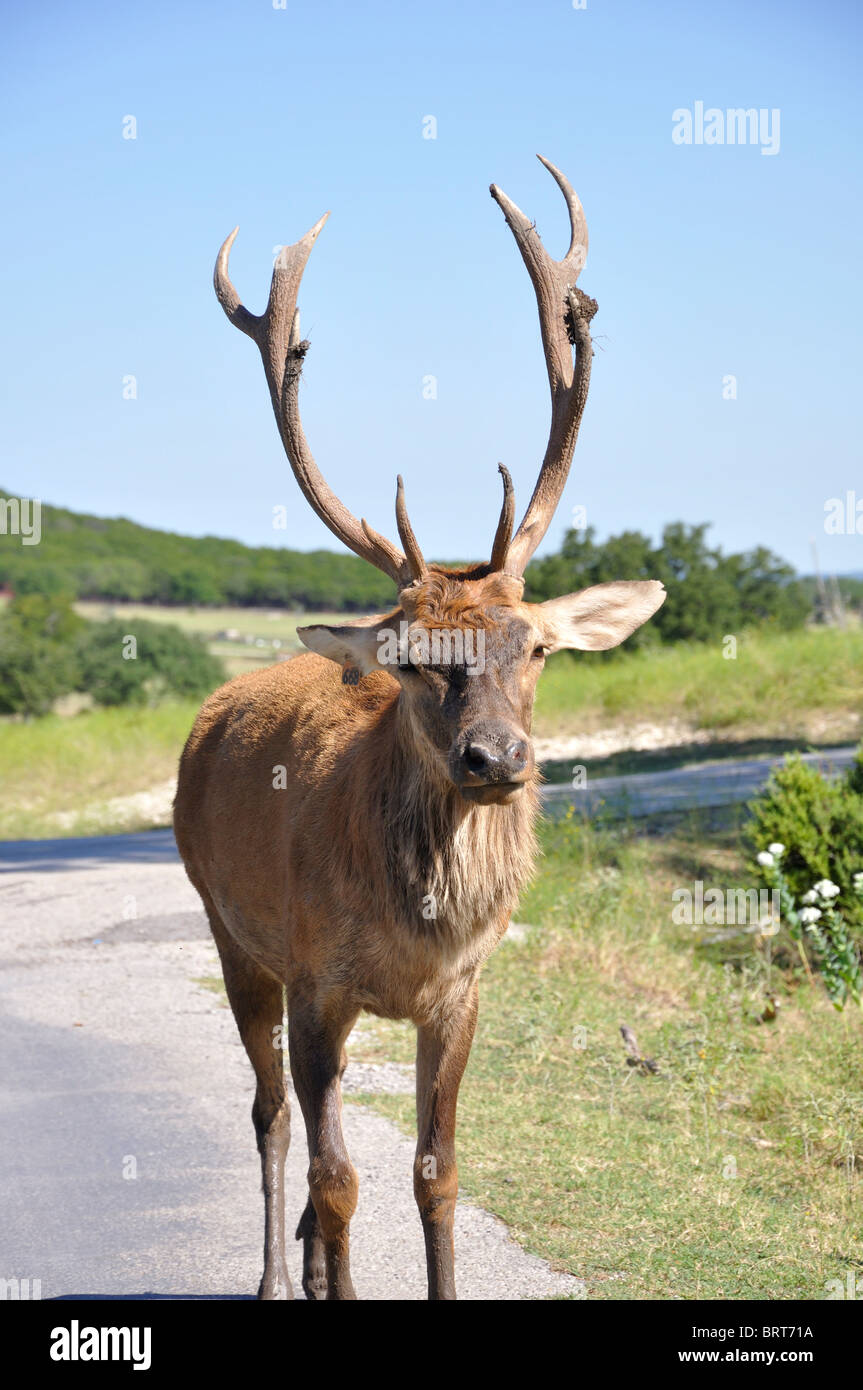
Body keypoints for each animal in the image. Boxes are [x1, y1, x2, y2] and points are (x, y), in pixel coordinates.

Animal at [173, 155, 666, 1302]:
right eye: (407, 659)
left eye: (535, 645)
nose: (495, 757)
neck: (417, 929)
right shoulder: (316, 976)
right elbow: (340, 1176)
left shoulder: (460, 991)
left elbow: (434, 1172)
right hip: (231, 931)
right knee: (270, 1117)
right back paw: (278, 1278)